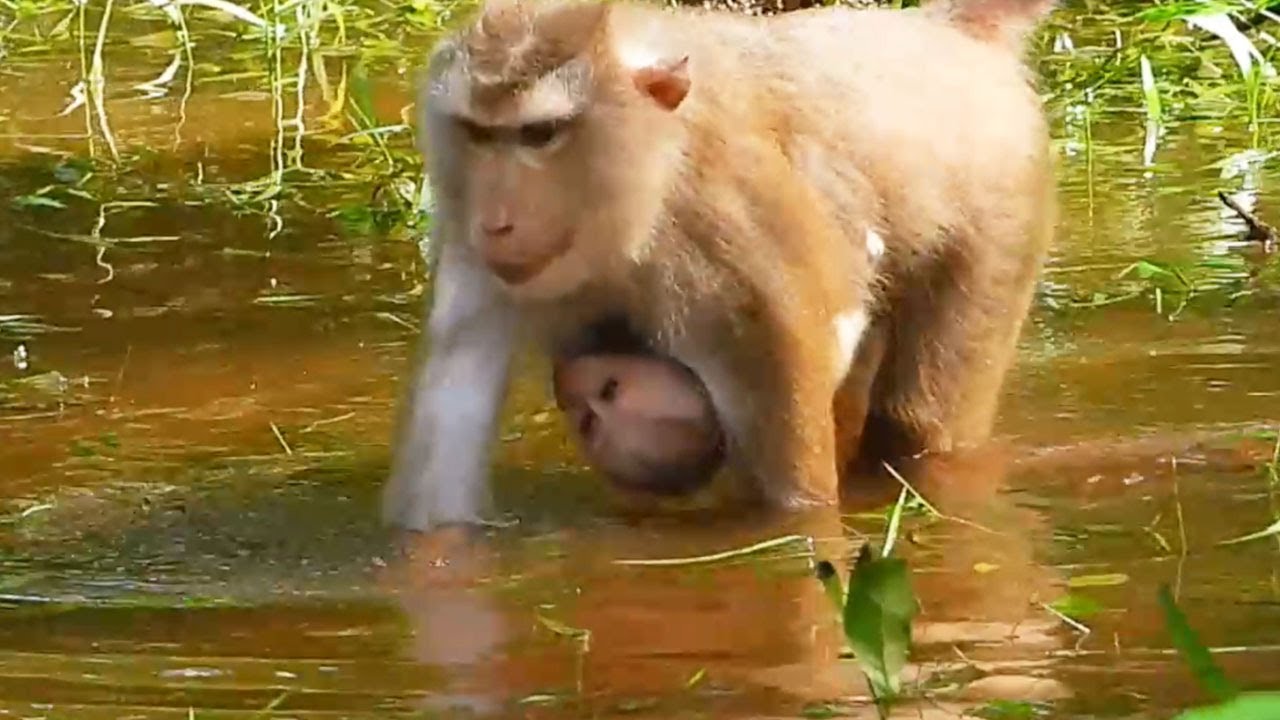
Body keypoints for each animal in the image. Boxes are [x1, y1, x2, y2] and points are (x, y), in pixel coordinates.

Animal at [383, 0, 1059, 531]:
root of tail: (953, 34)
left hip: (1006, 201)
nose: (496, 221)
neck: (645, 193)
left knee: (921, 424)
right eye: (478, 133)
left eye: (540, 133)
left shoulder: (733, 237)